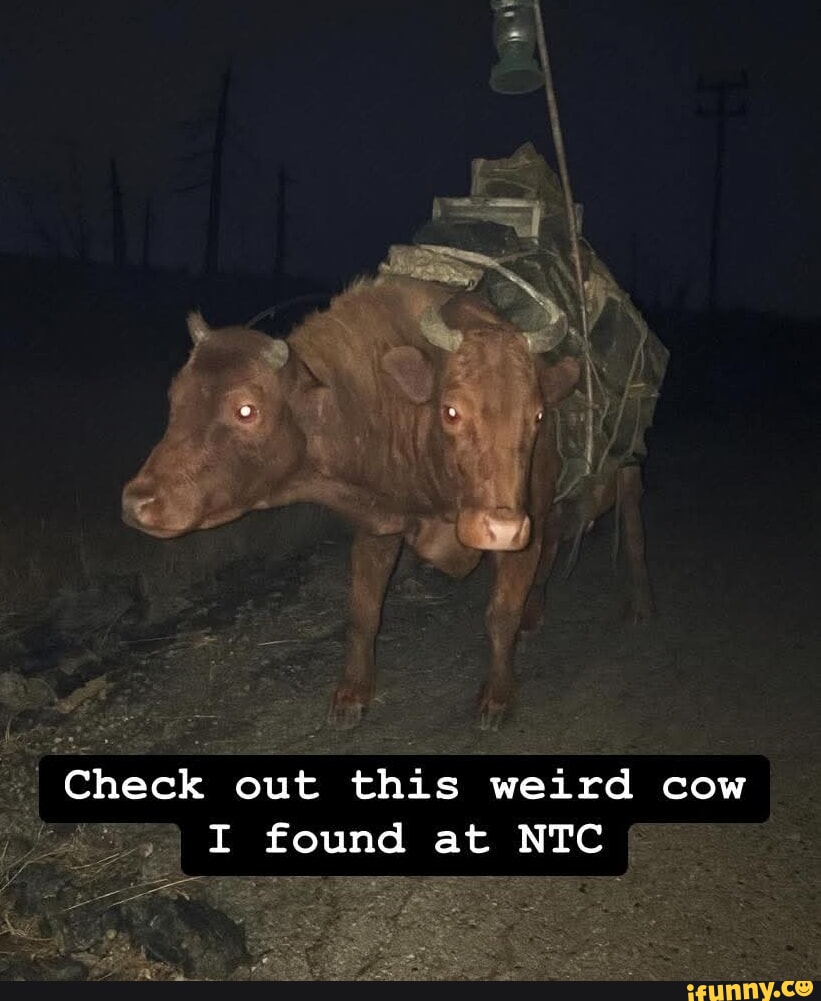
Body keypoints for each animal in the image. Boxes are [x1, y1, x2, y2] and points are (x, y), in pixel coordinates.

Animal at [122, 275, 652, 728]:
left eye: (538, 415)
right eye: (450, 410)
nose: (138, 500)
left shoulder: (527, 519)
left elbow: (499, 615)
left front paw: (498, 698)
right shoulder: (379, 525)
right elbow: (363, 611)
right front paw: (352, 695)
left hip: (626, 470)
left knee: (629, 527)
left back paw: (638, 606)